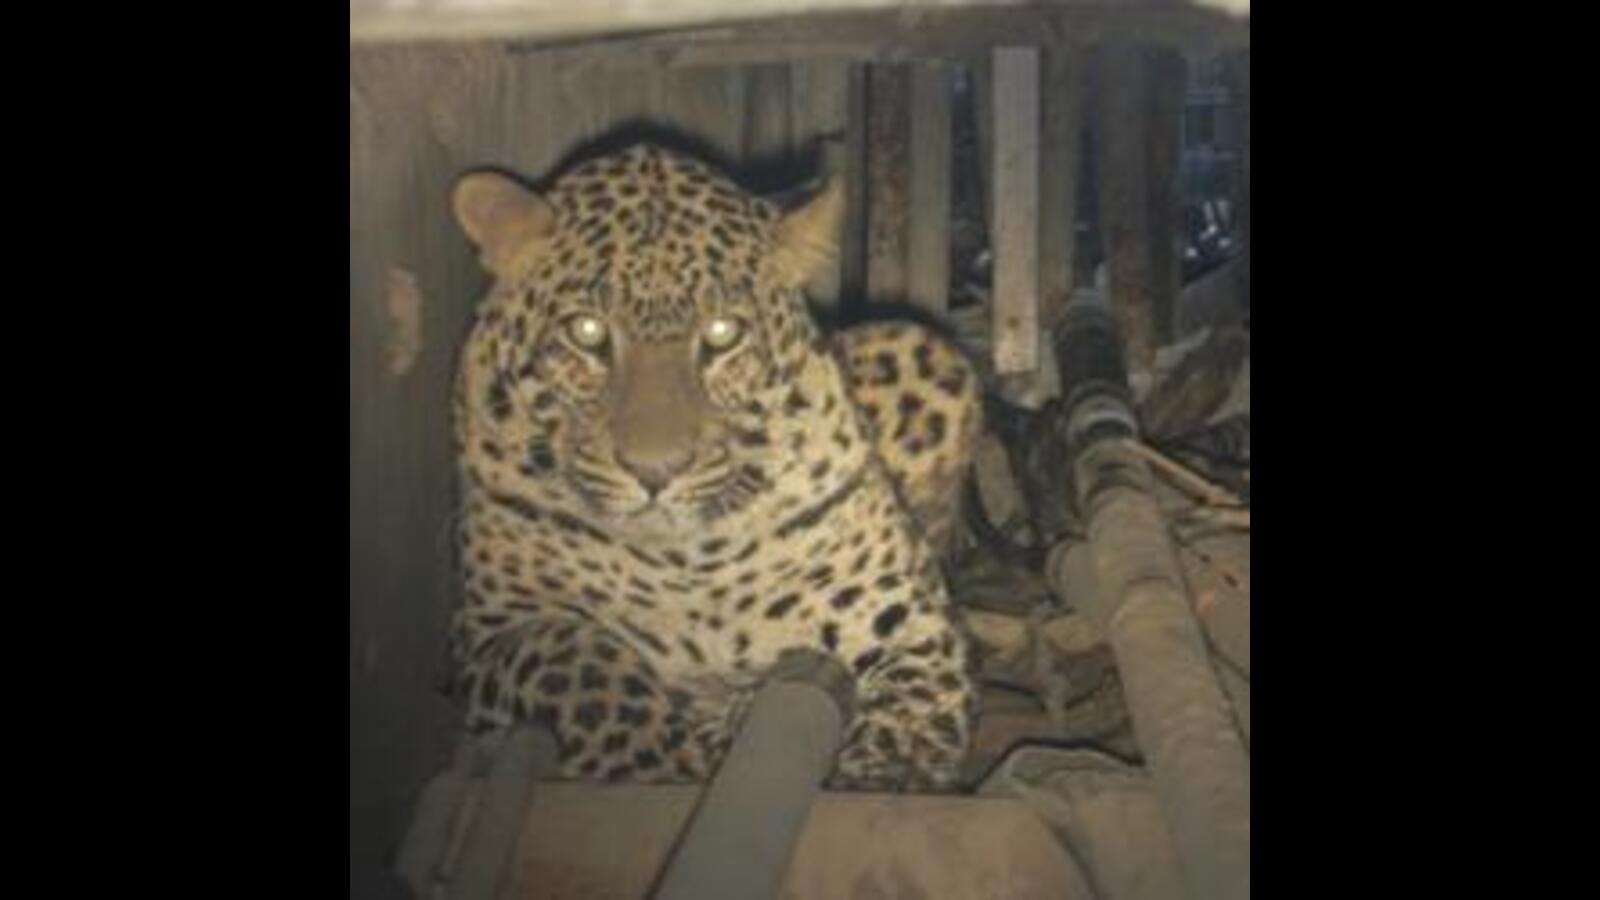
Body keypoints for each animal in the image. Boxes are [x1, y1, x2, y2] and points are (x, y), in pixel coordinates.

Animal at [446, 143, 982, 790]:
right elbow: (579, 662)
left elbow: (916, 706)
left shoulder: (901, 610)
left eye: (723, 334)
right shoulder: (485, 636)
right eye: (587, 332)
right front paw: (677, 752)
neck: (683, 560)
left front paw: (887, 769)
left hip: (924, 347)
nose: (656, 471)